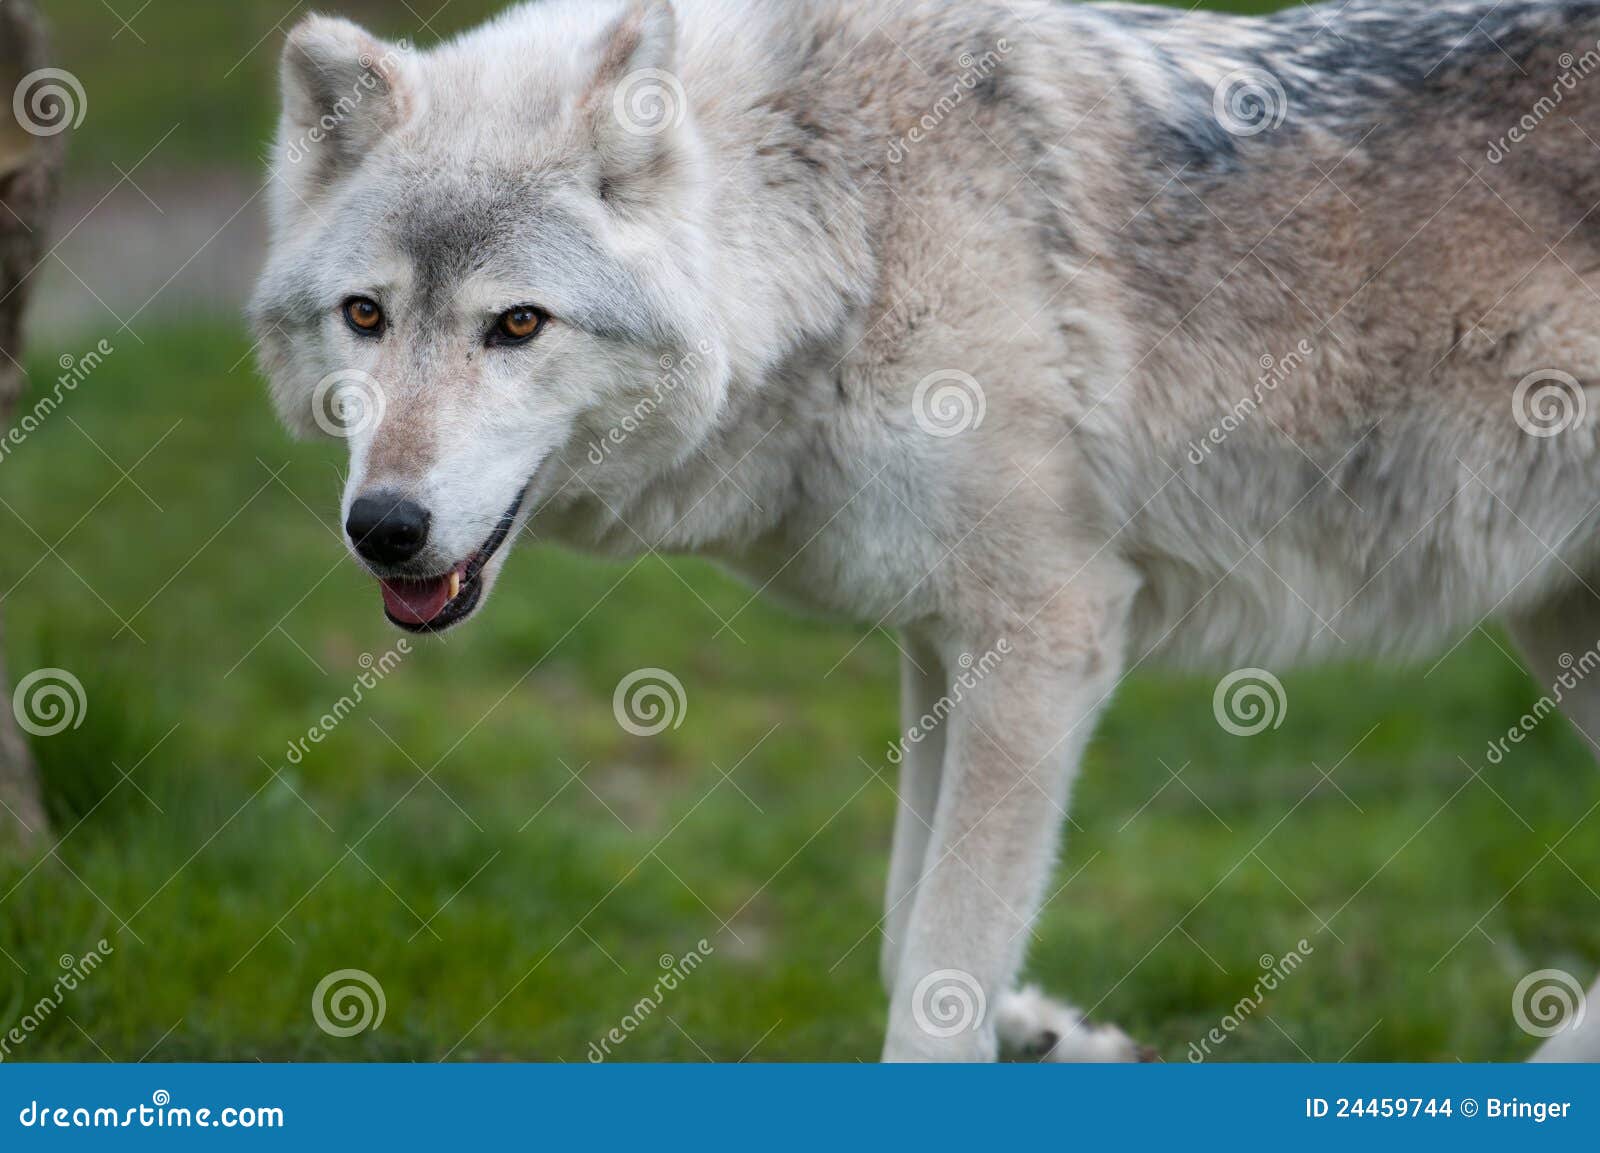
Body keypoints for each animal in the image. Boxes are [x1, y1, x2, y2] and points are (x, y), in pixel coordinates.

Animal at [251, 0, 1600, 1061]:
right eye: (365, 315)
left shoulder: (1043, 643)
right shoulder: (940, 643)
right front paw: (1055, 1034)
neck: (852, 222)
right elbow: (912, 946)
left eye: (518, 325)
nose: (384, 526)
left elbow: (935, 985)